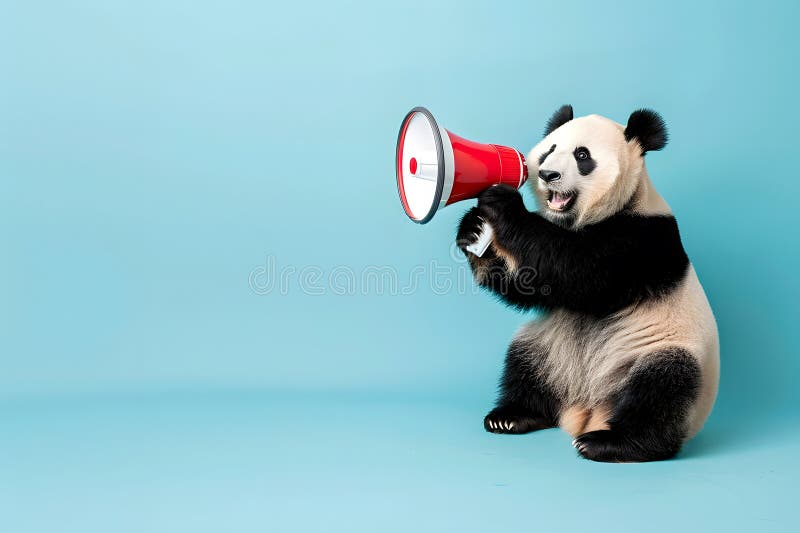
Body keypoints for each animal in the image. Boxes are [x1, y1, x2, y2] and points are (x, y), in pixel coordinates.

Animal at [457, 105, 719, 462]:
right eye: (550, 150)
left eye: (582, 156)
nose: (547, 174)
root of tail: (588, 410)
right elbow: (534, 287)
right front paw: (472, 230)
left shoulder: (641, 240)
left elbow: (575, 269)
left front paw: (503, 203)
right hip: (549, 348)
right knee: (524, 362)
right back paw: (513, 416)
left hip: (663, 350)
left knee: (663, 388)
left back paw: (612, 443)